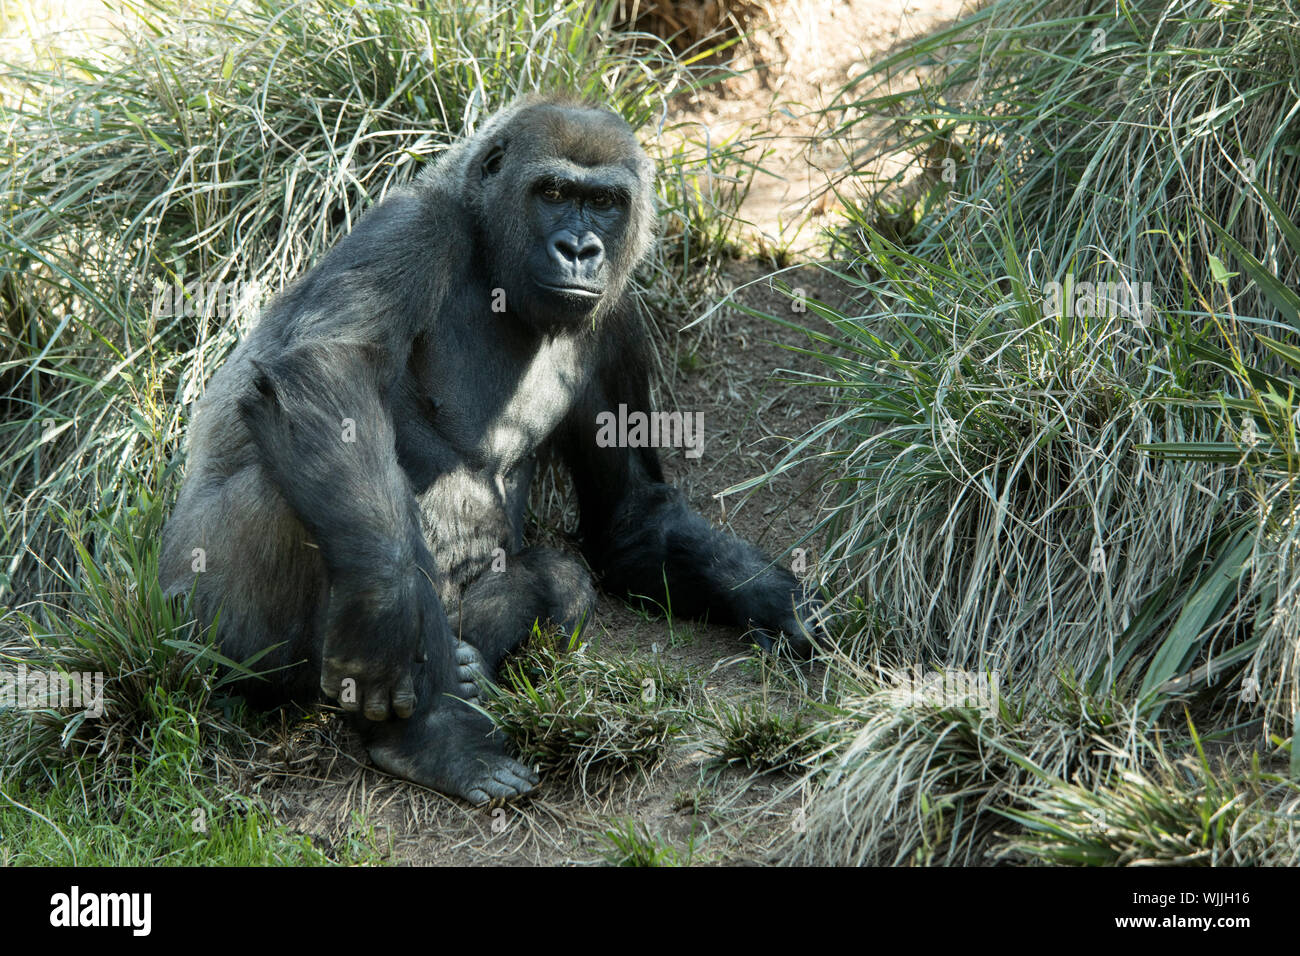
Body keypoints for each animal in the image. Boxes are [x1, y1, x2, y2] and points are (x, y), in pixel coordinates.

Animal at [159, 93, 823, 805]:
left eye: (606, 202)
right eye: (553, 192)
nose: (580, 248)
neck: (489, 252)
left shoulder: (619, 319)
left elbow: (628, 516)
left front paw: (771, 599)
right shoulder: (410, 227)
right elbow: (326, 367)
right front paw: (383, 609)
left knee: (559, 579)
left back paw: (471, 672)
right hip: (201, 633)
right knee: (304, 489)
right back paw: (429, 736)